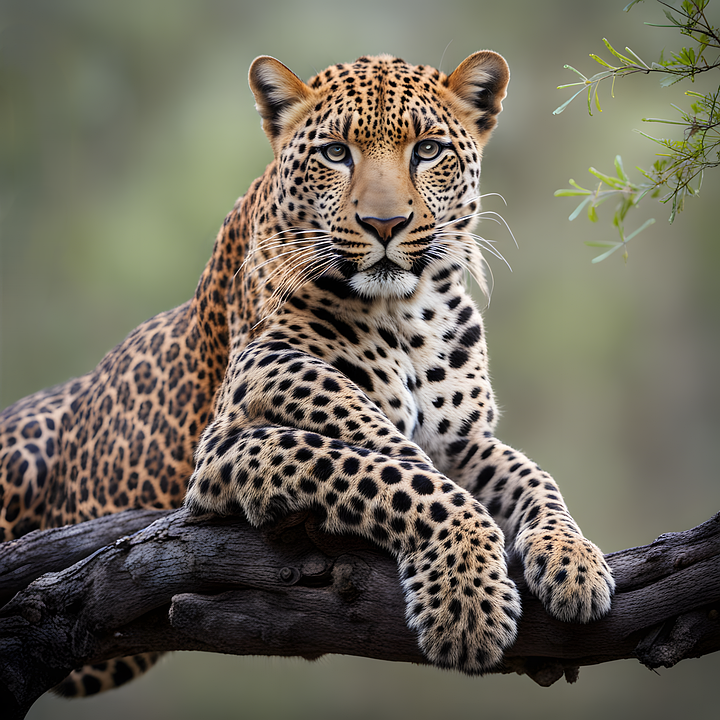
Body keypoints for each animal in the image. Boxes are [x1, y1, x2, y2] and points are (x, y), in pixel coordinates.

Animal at [0, 51, 614, 695]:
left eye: (427, 150)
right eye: (336, 153)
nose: (385, 224)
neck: (407, 311)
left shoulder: (466, 443)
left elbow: (535, 479)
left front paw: (573, 562)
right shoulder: (231, 439)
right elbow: (394, 467)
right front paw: (467, 607)